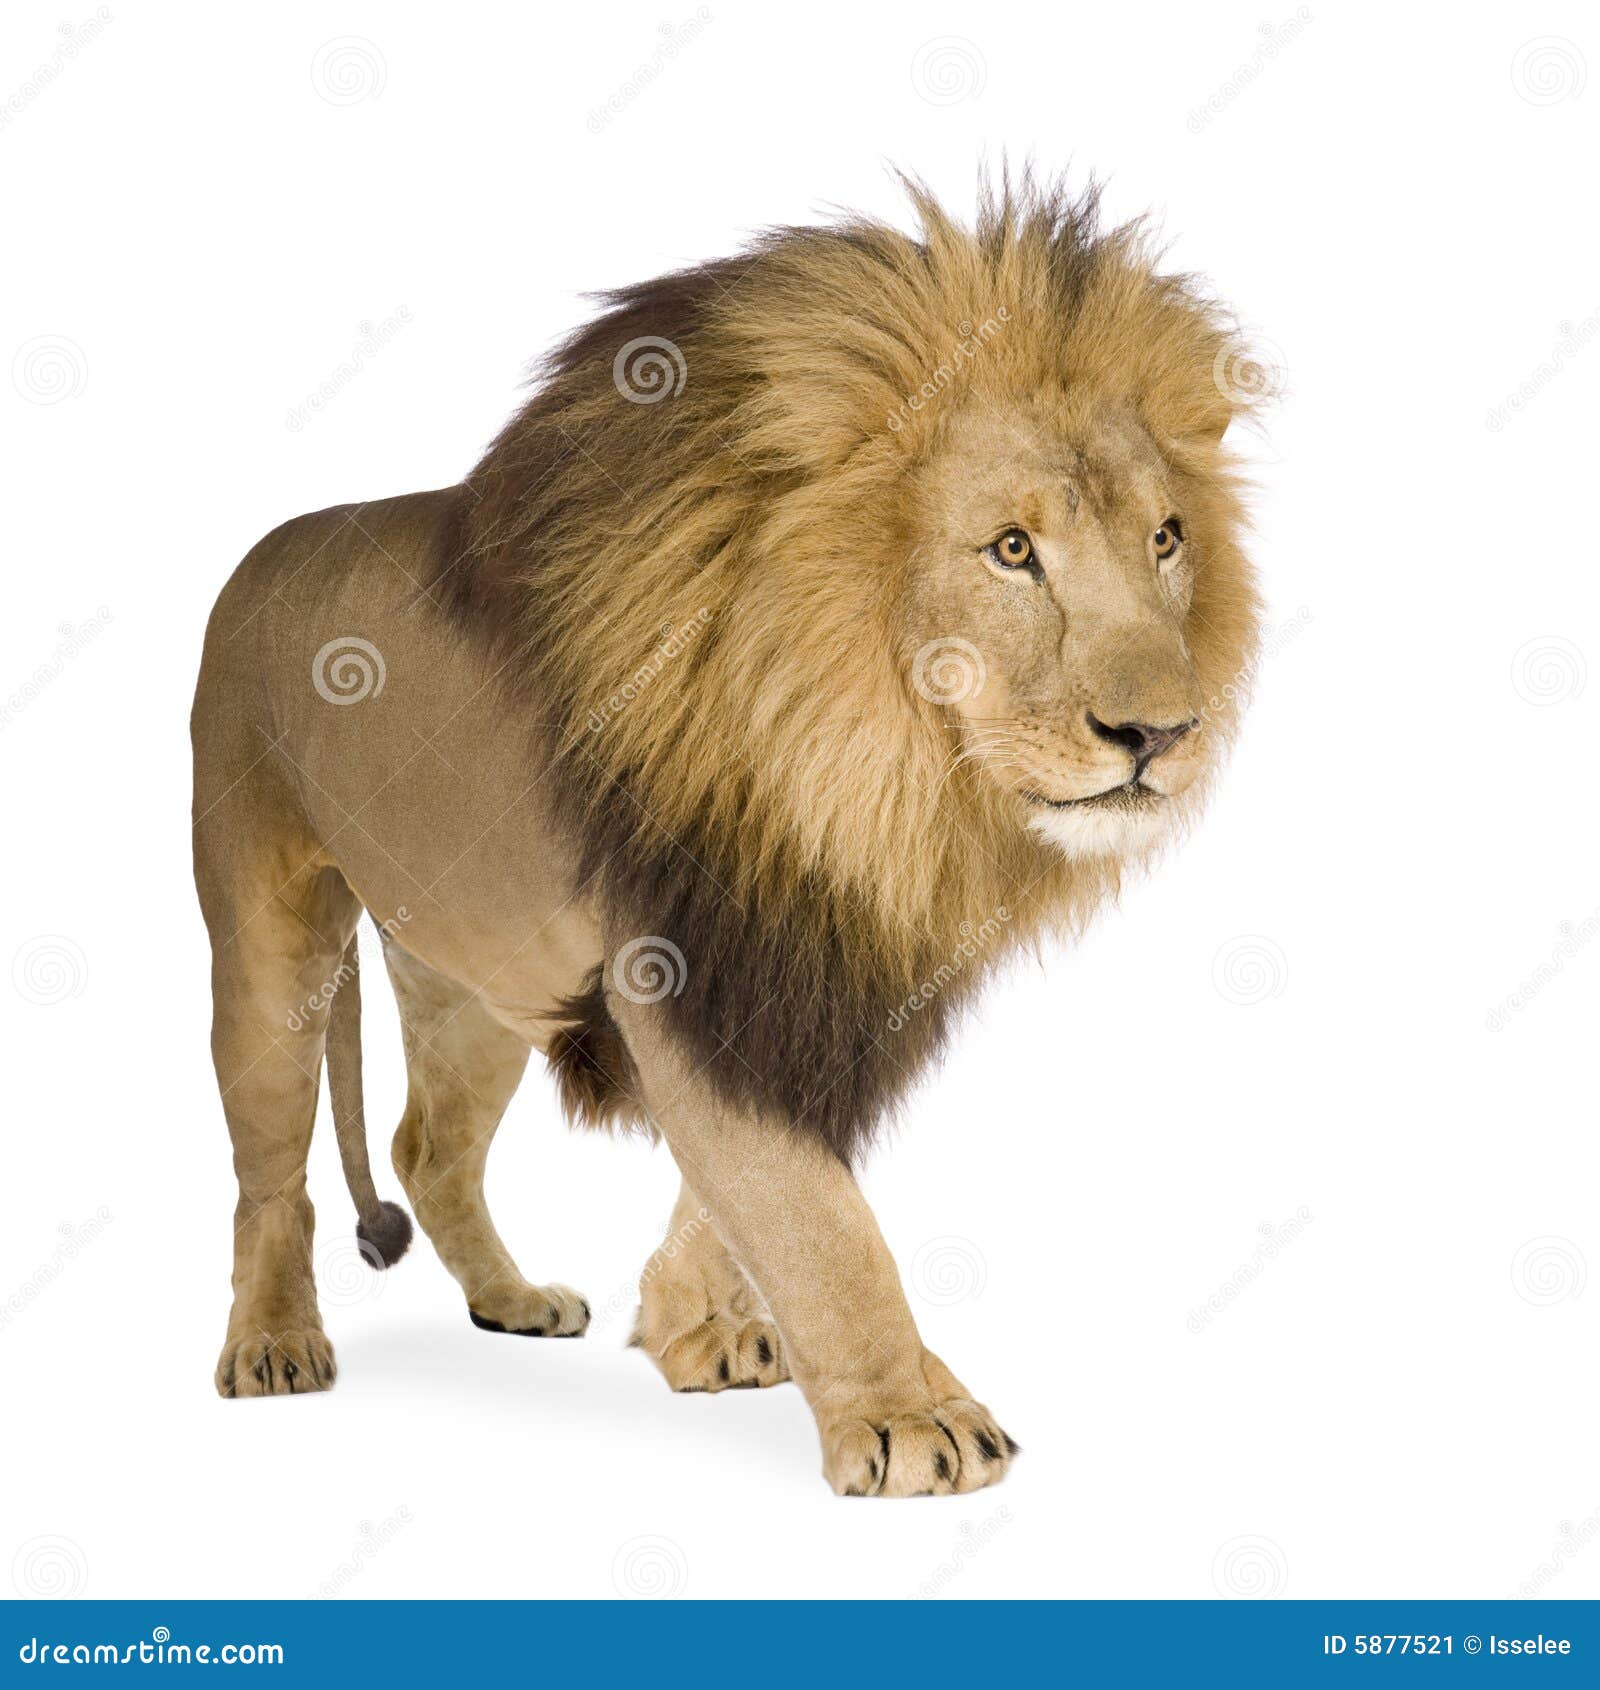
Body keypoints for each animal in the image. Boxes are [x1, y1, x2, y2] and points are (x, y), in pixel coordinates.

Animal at [191, 175, 1263, 1496]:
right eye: (1012, 549)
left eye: (1166, 537)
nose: (1160, 733)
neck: (875, 774)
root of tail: (258, 551)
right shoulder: (687, 964)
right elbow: (815, 1216)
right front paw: (911, 1415)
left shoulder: (825, 972)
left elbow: (746, 1188)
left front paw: (695, 1326)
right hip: (265, 935)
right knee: (267, 1171)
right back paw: (272, 1342)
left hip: (476, 970)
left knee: (426, 1143)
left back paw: (509, 1300)